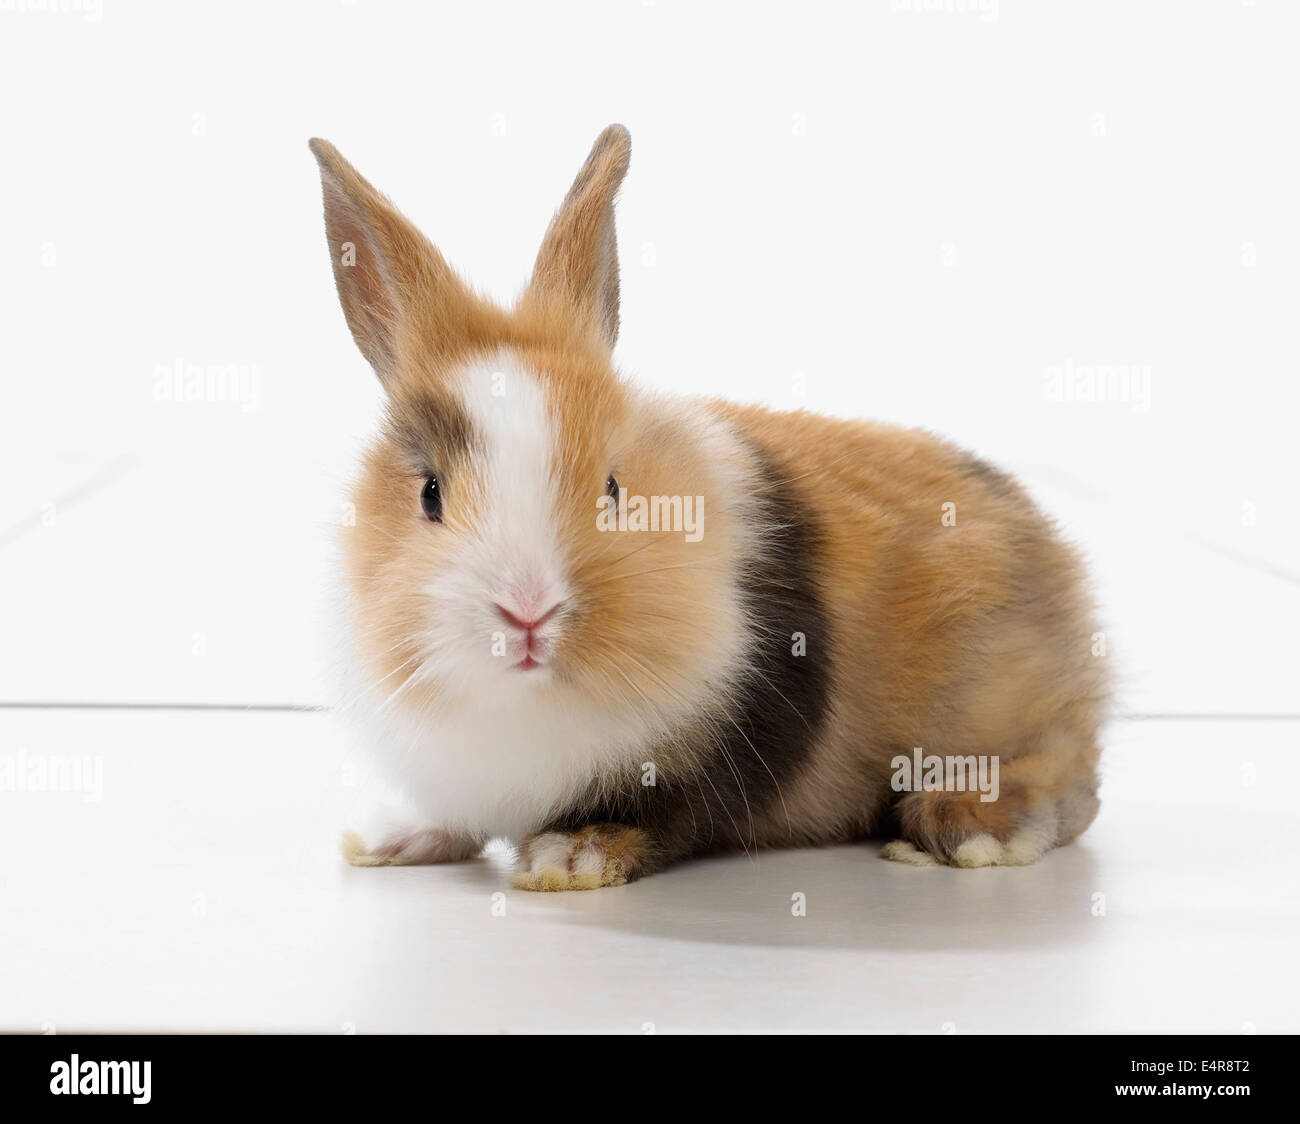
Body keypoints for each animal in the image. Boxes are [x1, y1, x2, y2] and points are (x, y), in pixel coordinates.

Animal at [309, 124, 1108, 890]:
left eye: (614, 489)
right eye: (429, 494)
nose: (528, 613)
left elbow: (660, 809)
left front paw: (571, 856)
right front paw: (391, 840)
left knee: (1070, 783)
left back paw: (965, 827)